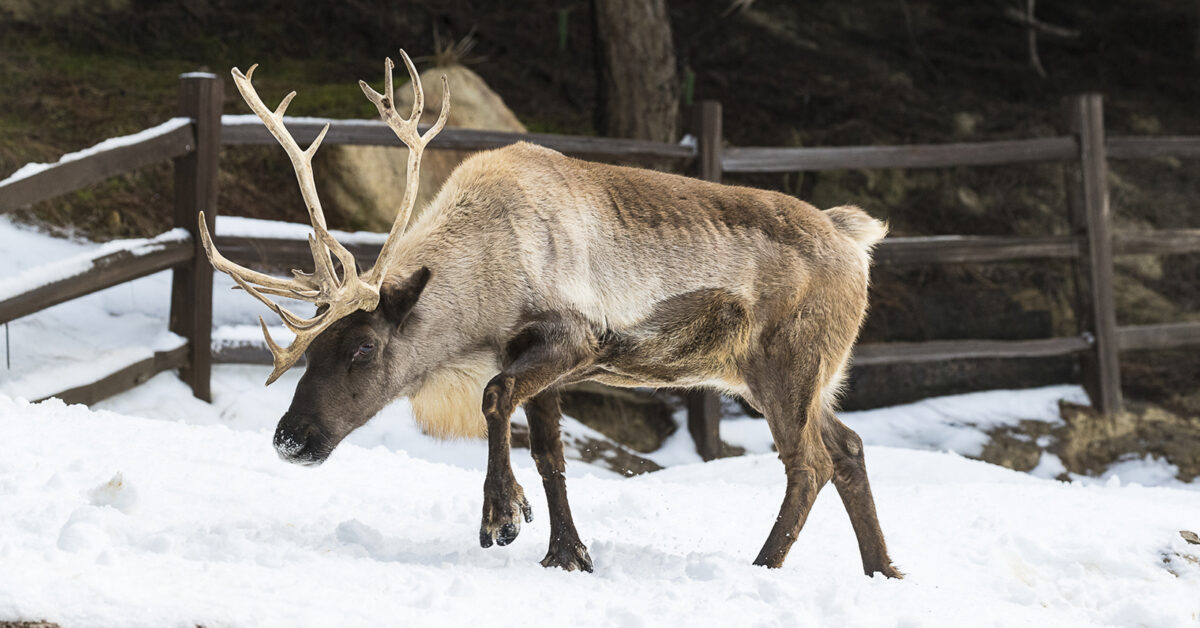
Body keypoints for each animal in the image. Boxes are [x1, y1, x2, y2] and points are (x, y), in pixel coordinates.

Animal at [198, 50, 901, 577]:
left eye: (363, 348)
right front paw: (568, 553)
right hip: (787, 377)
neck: (482, 287)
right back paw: (883, 570)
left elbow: (493, 397)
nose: (291, 439)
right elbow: (548, 453)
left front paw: (503, 517)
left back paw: (764, 566)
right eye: (311, 349)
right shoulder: (537, 362)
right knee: (850, 447)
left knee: (810, 464)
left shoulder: (575, 337)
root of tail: (854, 237)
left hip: (789, 364)